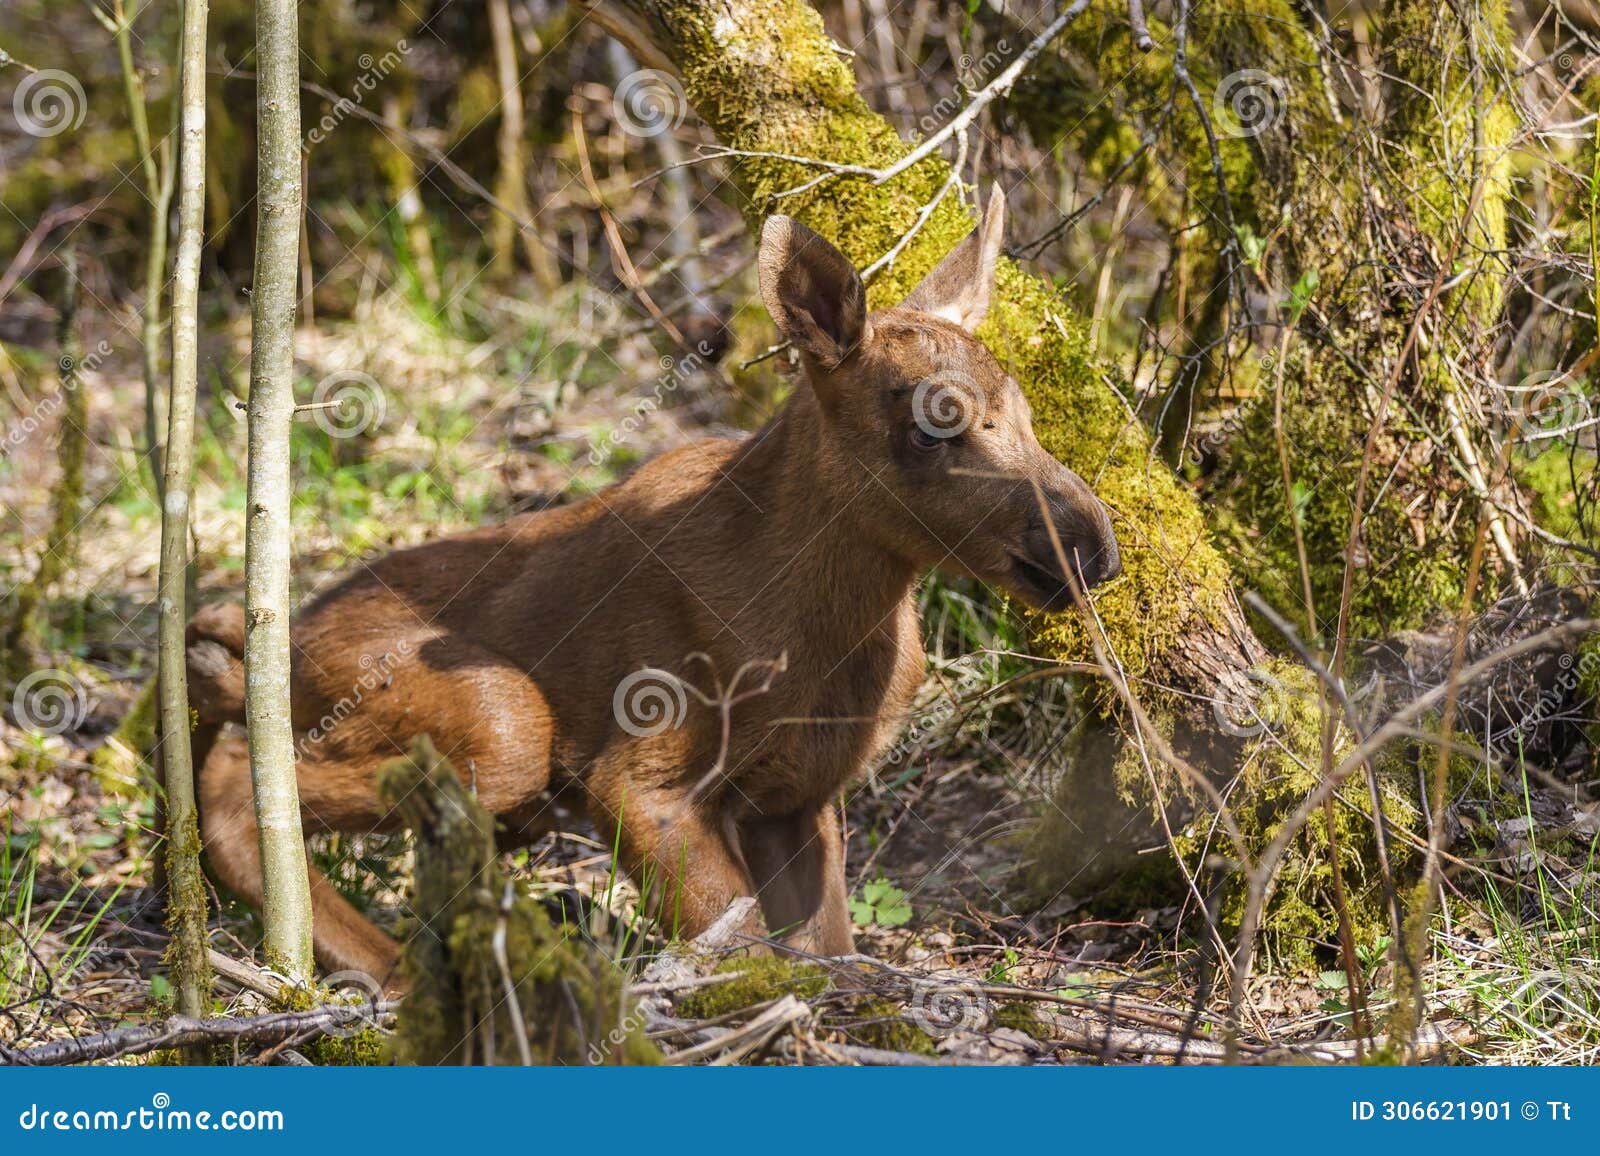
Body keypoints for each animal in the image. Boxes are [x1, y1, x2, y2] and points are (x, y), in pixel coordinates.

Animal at [184, 188, 1121, 992]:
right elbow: (744, 952)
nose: (1092, 547)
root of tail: (288, 639)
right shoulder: (638, 782)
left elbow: (828, 952)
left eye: (1030, 410)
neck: (832, 629)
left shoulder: (799, 796)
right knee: (235, 767)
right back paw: (387, 970)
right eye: (932, 424)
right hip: (502, 722)